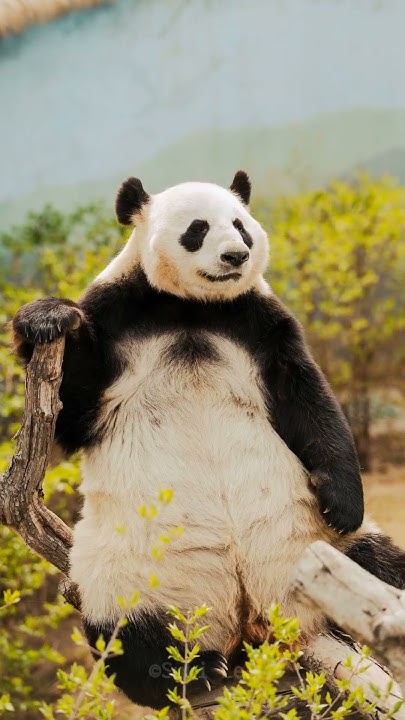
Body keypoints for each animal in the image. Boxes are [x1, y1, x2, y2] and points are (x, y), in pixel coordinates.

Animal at [13, 171, 405, 709]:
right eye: (197, 229)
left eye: (240, 225)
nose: (235, 256)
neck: (191, 309)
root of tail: (254, 621)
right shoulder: (116, 318)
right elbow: (70, 408)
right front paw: (46, 317)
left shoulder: (258, 322)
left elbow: (307, 399)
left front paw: (341, 502)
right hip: (123, 574)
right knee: (123, 633)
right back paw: (189, 671)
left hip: (323, 550)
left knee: (383, 566)